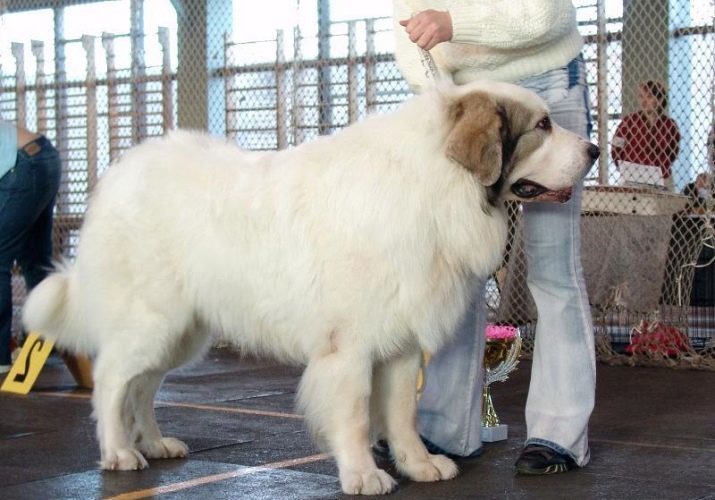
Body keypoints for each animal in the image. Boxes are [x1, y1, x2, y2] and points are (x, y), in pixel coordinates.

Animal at [22, 80, 600, 494]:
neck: (437, 185)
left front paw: (418, 464)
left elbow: (400, 413)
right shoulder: (349, 346)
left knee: (142, 385)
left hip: (183, 332)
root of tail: (119, 174)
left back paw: (157, 443)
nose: (594, 149)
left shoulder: (401, 341)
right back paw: (119, 452)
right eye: (543, 125)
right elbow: (356, 413)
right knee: (113, 380)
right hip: (152, 320)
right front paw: (363, 475)